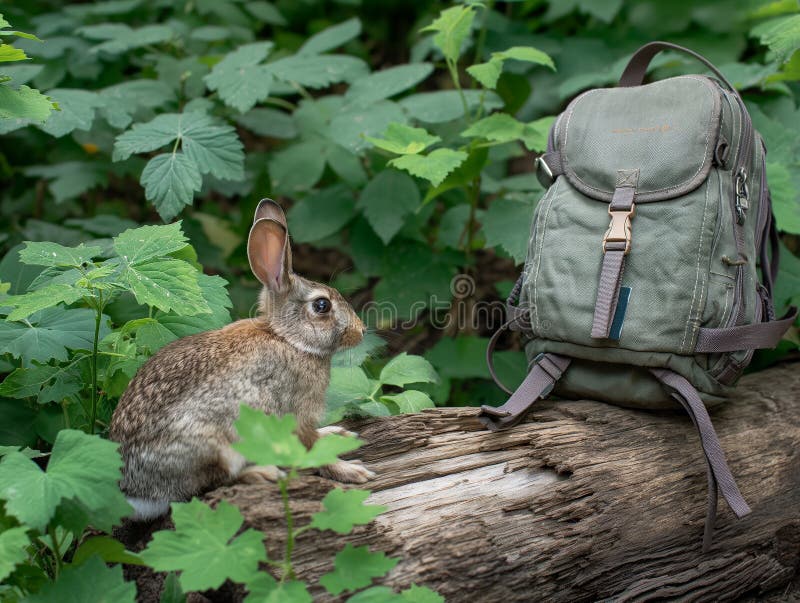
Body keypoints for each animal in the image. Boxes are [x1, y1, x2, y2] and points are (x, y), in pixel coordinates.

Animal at [109, 199, 374, 521]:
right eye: (322, 305)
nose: (360, 331)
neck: (286, 338)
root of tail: (138, 493)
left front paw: (337, 435)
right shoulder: (296, 412)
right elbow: (308, 450)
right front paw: (351, 471)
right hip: (215, 445)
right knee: (211, 484)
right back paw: (264, 473)